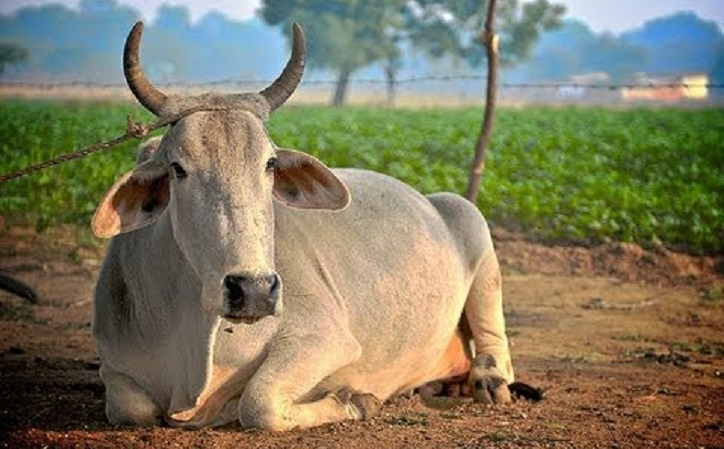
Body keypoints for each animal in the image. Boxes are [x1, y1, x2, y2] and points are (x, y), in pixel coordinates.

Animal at [90, 21, 515, 430]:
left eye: (270, 164)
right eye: (178, 168)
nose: (253, 290)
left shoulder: (324, 338)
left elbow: (259, 403)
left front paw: (355, 401)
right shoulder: (115, 366)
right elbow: (130, 408)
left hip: (471, 222)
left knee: (494, 342)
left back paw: (487, 379)